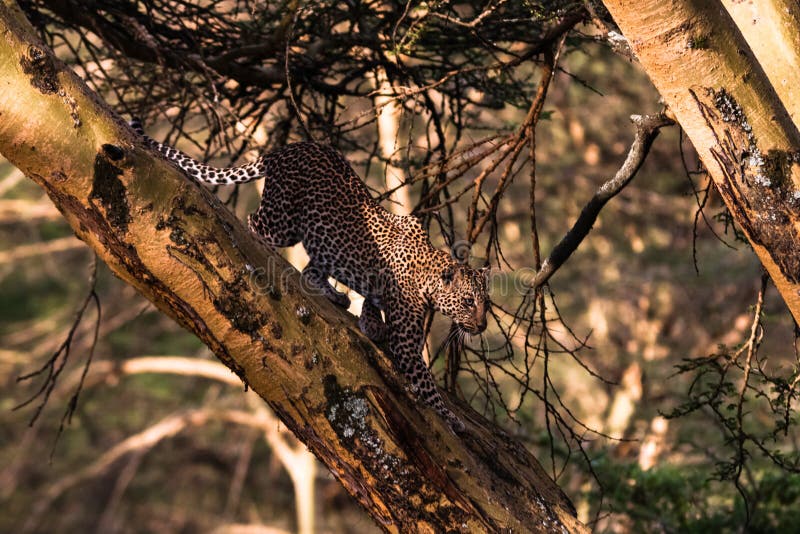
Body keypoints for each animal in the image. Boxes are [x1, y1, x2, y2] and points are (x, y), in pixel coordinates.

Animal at [130, 119, 490, 432]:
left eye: (486, 302)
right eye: (468, 301)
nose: (483, 325)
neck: (427, 272)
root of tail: (286, 149)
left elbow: (372, 307)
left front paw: (370, 322)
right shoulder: (405, 343)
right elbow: (428, 386)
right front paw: (453, 420)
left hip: (320, 237)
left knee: (311, 269)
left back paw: (336, 295)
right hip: (283, 220)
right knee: (253, 224)